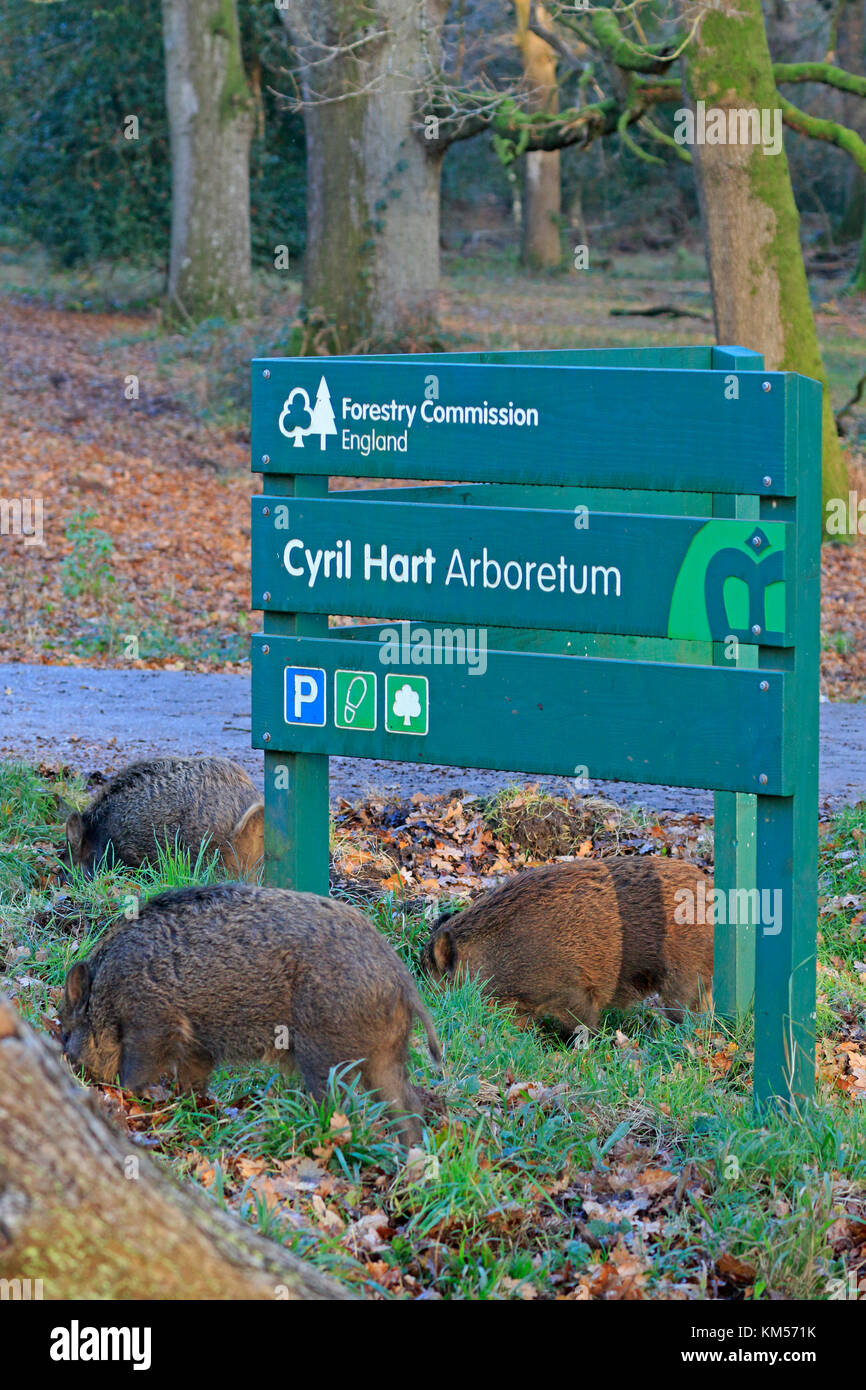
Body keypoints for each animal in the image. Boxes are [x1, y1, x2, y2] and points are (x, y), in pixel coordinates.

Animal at [59, 882, 441, 1144]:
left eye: (65, 1031)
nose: (75, 1074)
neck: (107, 991)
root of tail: (401, 978)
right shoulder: (198, 1046)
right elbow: (192, 1080)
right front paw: (190, 1105)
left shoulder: (151, 1024)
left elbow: (133, 1075)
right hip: (384, 1054)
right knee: (407, 1107)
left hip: (326, 1052)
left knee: (342, 1105)